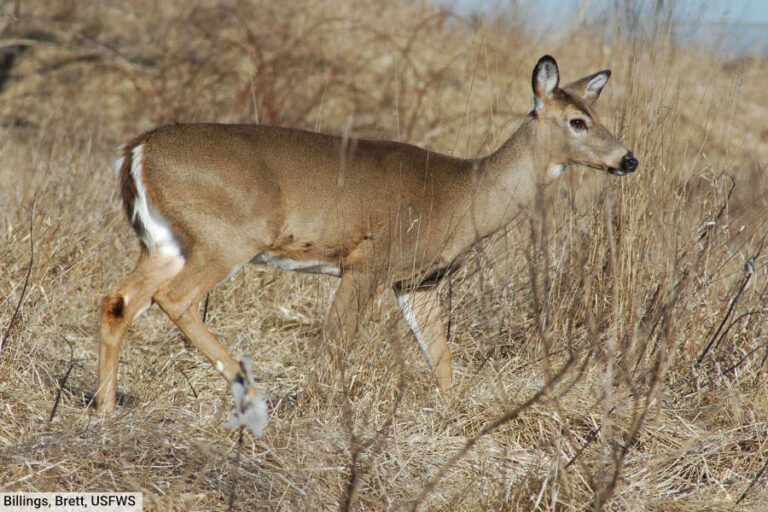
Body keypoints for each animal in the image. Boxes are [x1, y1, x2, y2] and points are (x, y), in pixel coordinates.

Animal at [97, 55, 638, 436]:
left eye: (597, 113)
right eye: (577, 121)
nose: (628, 159)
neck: (463, 194)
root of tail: (137, 150)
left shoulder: (416, 282)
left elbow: (440, 357)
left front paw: (457, 418)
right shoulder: (368, 264)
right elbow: (335, 345)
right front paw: (311, 412)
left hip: (164, 242)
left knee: (118, 302)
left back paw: (105, 409)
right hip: (227, 236)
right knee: (174, 299)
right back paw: (249, 388)